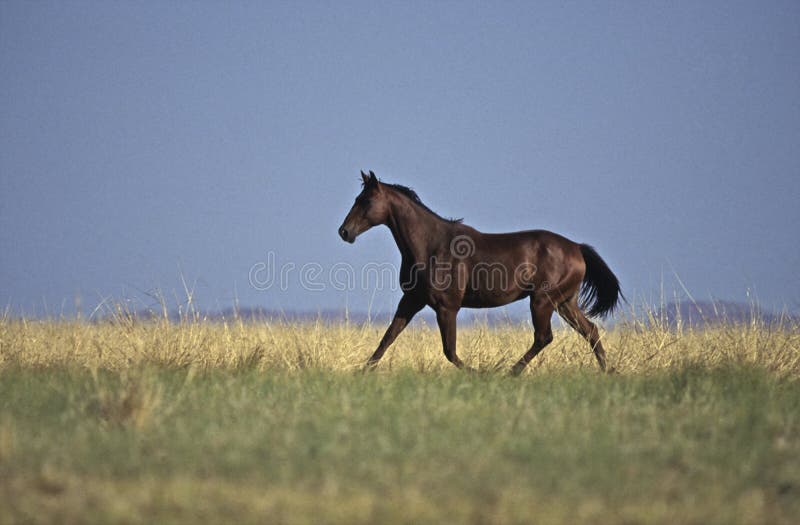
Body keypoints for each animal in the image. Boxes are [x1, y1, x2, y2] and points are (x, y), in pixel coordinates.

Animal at [338, 171, 623, 374]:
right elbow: (387, 338)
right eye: (356, 199)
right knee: (590, 331)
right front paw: (363, 372)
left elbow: (450, 351)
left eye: (366, 201)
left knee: (544, 337)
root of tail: (577, 248)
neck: (431, 245)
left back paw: (510, 372)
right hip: (564, 302)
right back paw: (607, 371)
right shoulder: (412, 300)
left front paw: (479, 373)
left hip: (542, 301)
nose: (344, 232)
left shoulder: (447, 307)